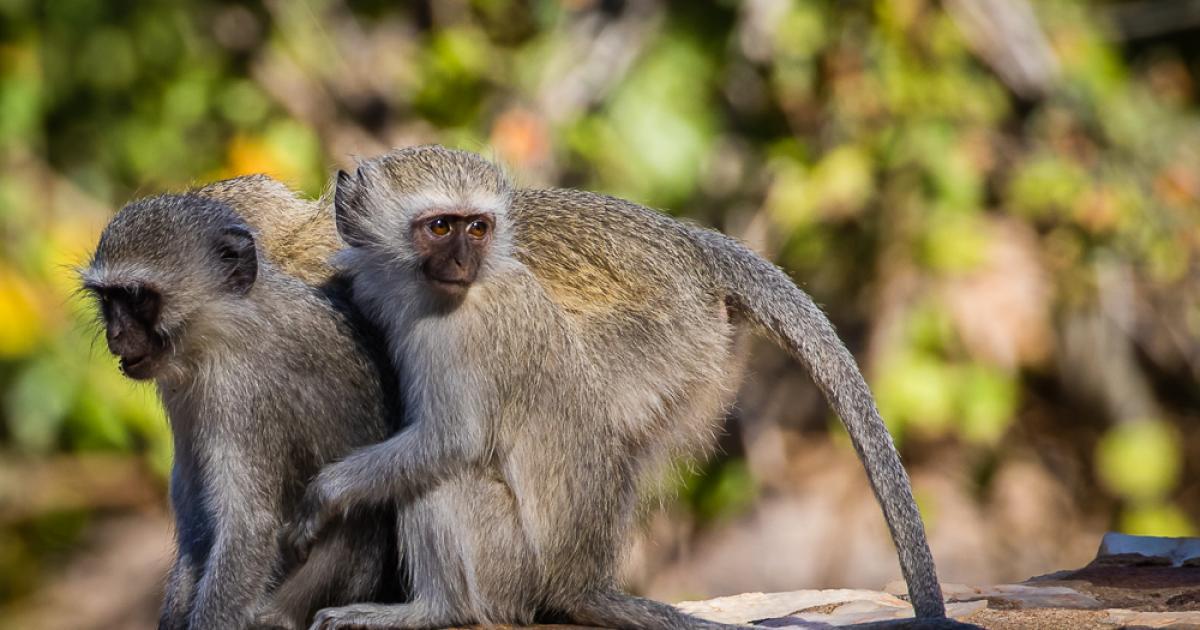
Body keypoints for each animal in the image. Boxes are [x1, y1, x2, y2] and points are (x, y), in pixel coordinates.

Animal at [80, 176, 403, 630]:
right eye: (109, 300)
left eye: (137, 297)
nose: (116, 336)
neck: (226, 324)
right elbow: (199, 527)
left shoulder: (239, 392)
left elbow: (248, 529)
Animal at [287, 145, 958, 629]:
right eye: (439, 228)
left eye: (475, 229)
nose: (461, 263)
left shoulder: (456, 335)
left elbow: (453, 440)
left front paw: (325, 494)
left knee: (447, 479)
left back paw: (437, 611)